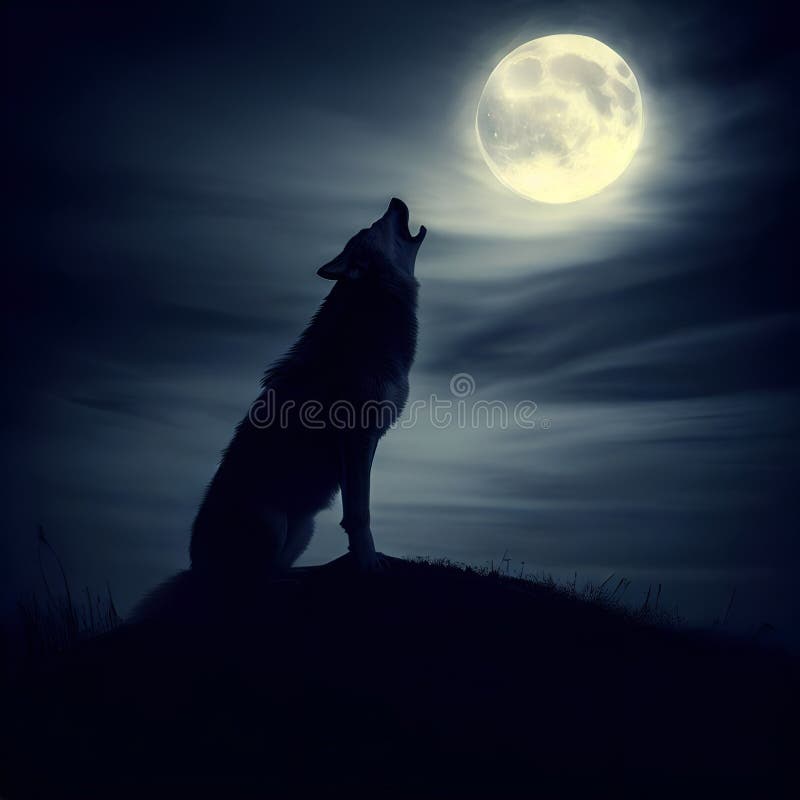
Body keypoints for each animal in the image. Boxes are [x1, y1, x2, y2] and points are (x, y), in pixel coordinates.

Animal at [189, 198, 426, 581]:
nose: (395, 200)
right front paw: (368, 565)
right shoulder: (355, 435)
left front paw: (362, 559)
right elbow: (359, 513)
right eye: (374, 225)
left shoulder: (368, 440)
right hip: (274, 523)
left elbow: (355, 507)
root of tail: (195, 566)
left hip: (303, 528)